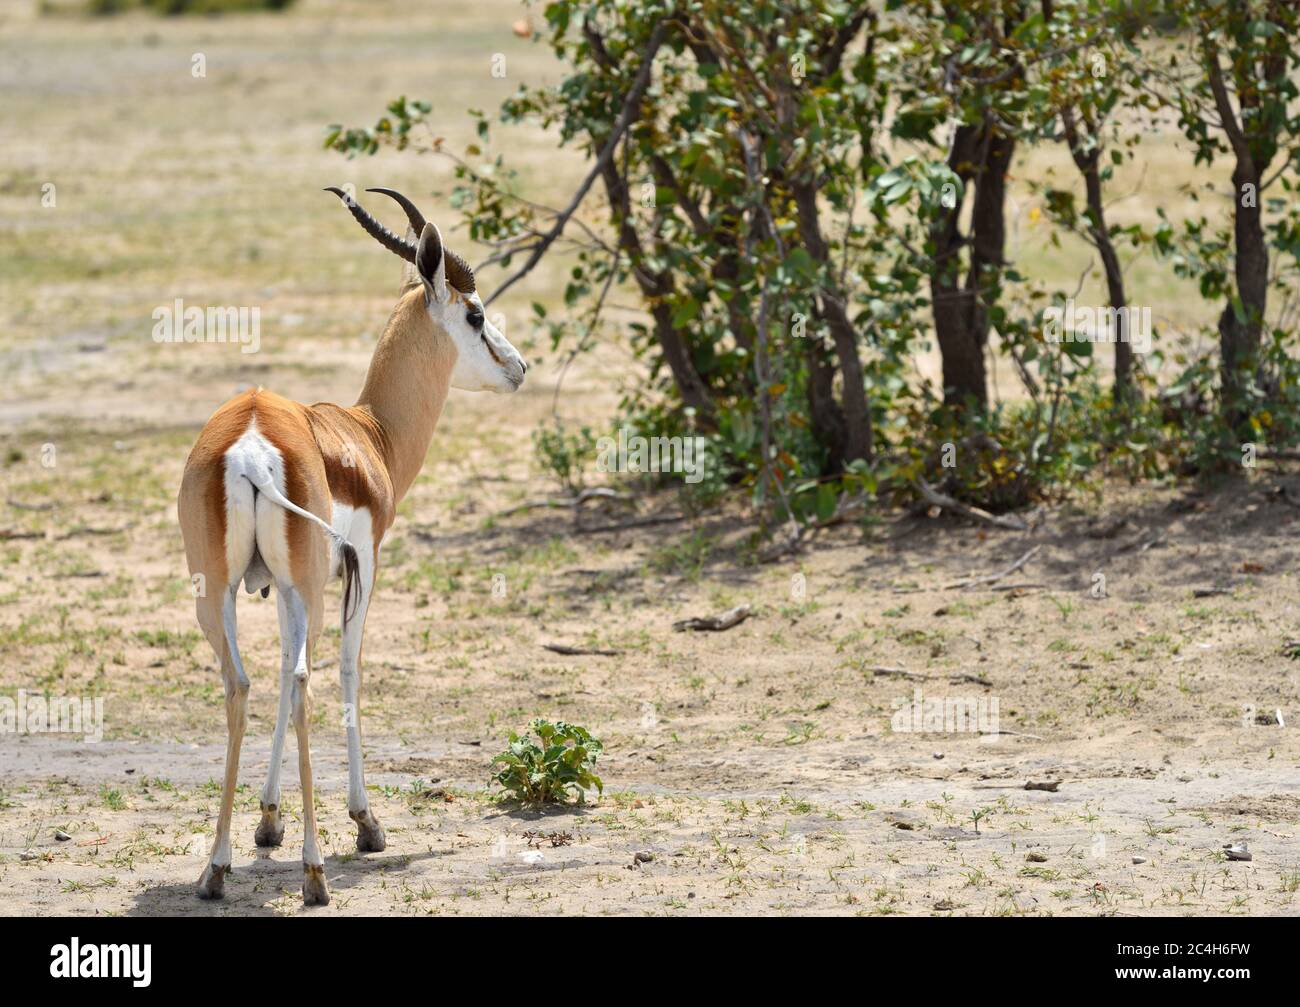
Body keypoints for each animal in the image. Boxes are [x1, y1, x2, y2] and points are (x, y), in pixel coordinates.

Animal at [178, 188, 526, 906]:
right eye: (476, 314)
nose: (519, 368)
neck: (370, 437)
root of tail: (250, 445)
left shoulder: (273, 588)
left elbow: (280, 677)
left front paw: (268, 820)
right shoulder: (361, 566)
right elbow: (346, 670)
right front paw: (367, 823)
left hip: (222, 590)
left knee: (242, 682)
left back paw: (216, 868)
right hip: (306, 584)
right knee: (304, 681)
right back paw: (314, 875)